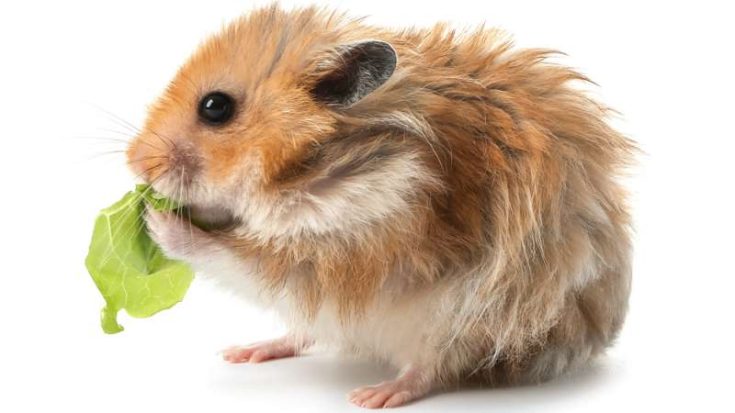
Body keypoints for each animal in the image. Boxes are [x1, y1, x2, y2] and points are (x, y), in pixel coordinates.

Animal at [128, 5, 635, 409]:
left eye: (215, 107)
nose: (136, 165)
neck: (315, 162)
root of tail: (596, 335)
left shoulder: (358, 242)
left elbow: (242, 258)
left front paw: (156, 220)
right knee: (305, 332)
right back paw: (246, 352)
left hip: (462, 322)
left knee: (431, 367)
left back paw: (374, 396)